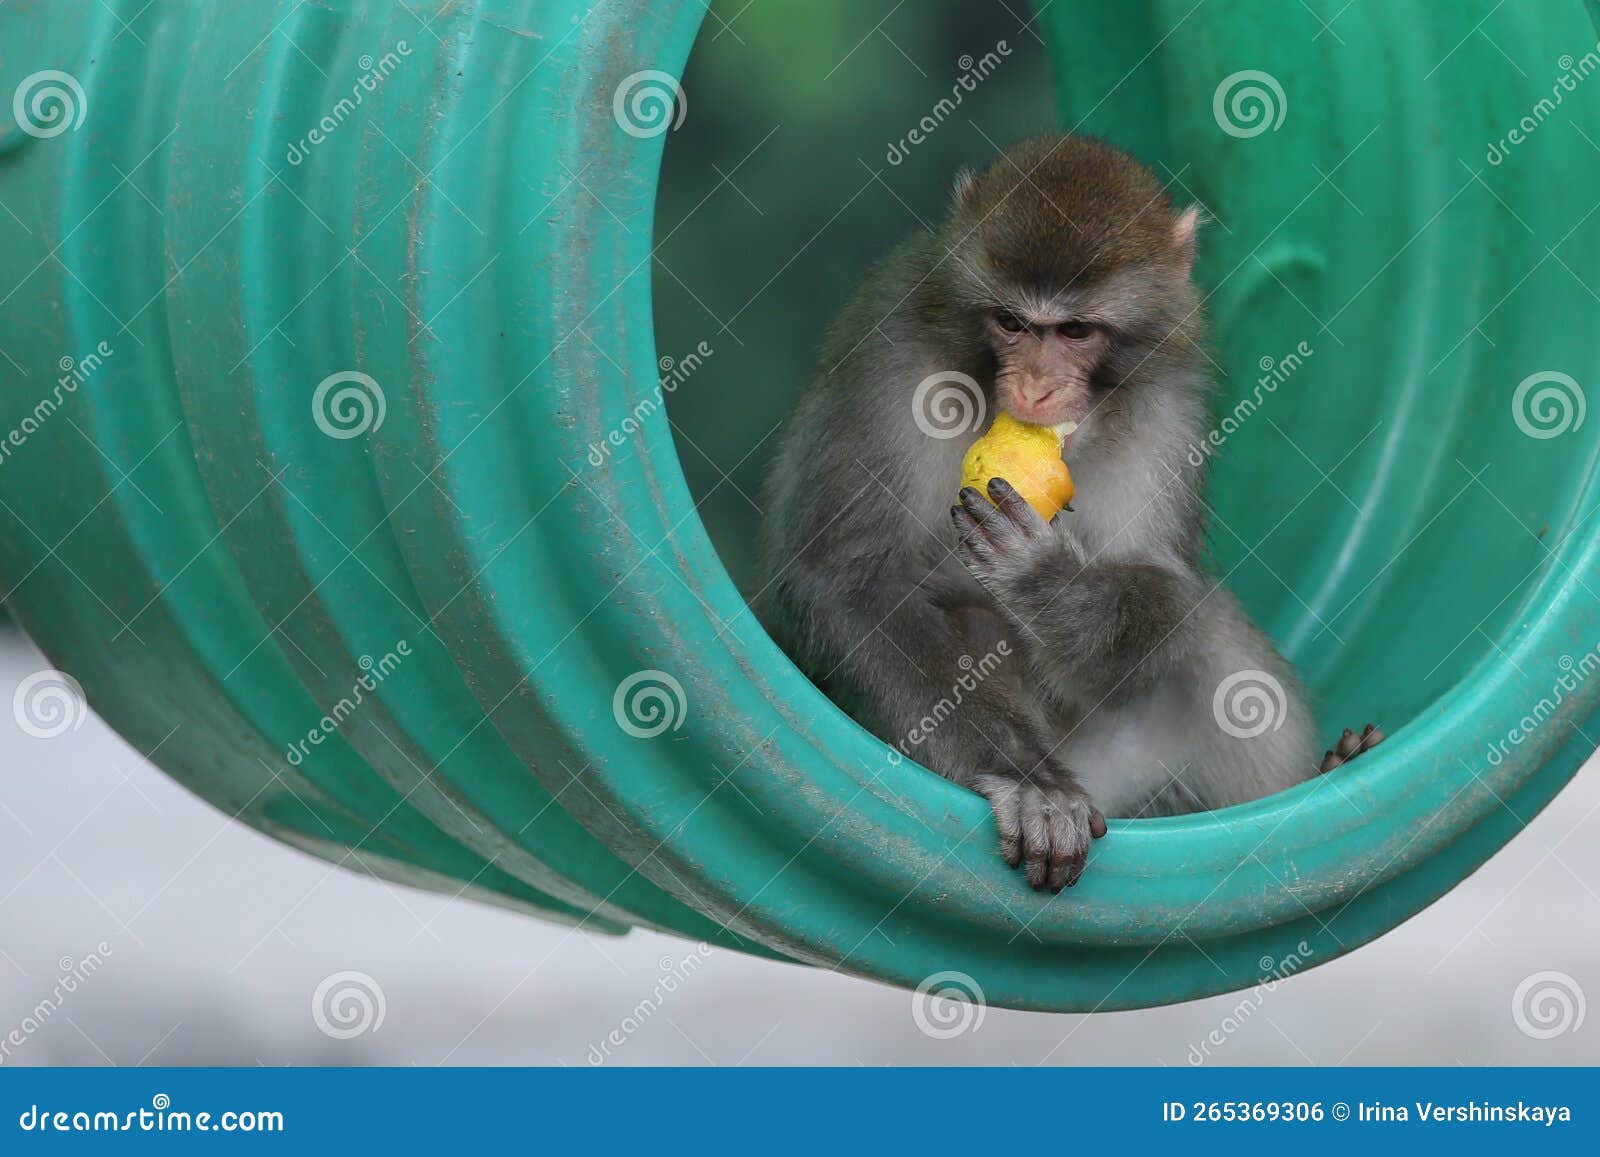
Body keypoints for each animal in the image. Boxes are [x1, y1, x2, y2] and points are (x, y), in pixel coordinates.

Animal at [755, 134, 1383, 893]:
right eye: (1012, 323)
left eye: (1076, 330)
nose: (1034, 387)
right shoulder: (890, 355)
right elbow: (845, 580)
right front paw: (1029, 783)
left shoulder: (1168, 397)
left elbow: (1160, 583)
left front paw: (1046, 584)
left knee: (1205, 637)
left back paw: (1332, 771)